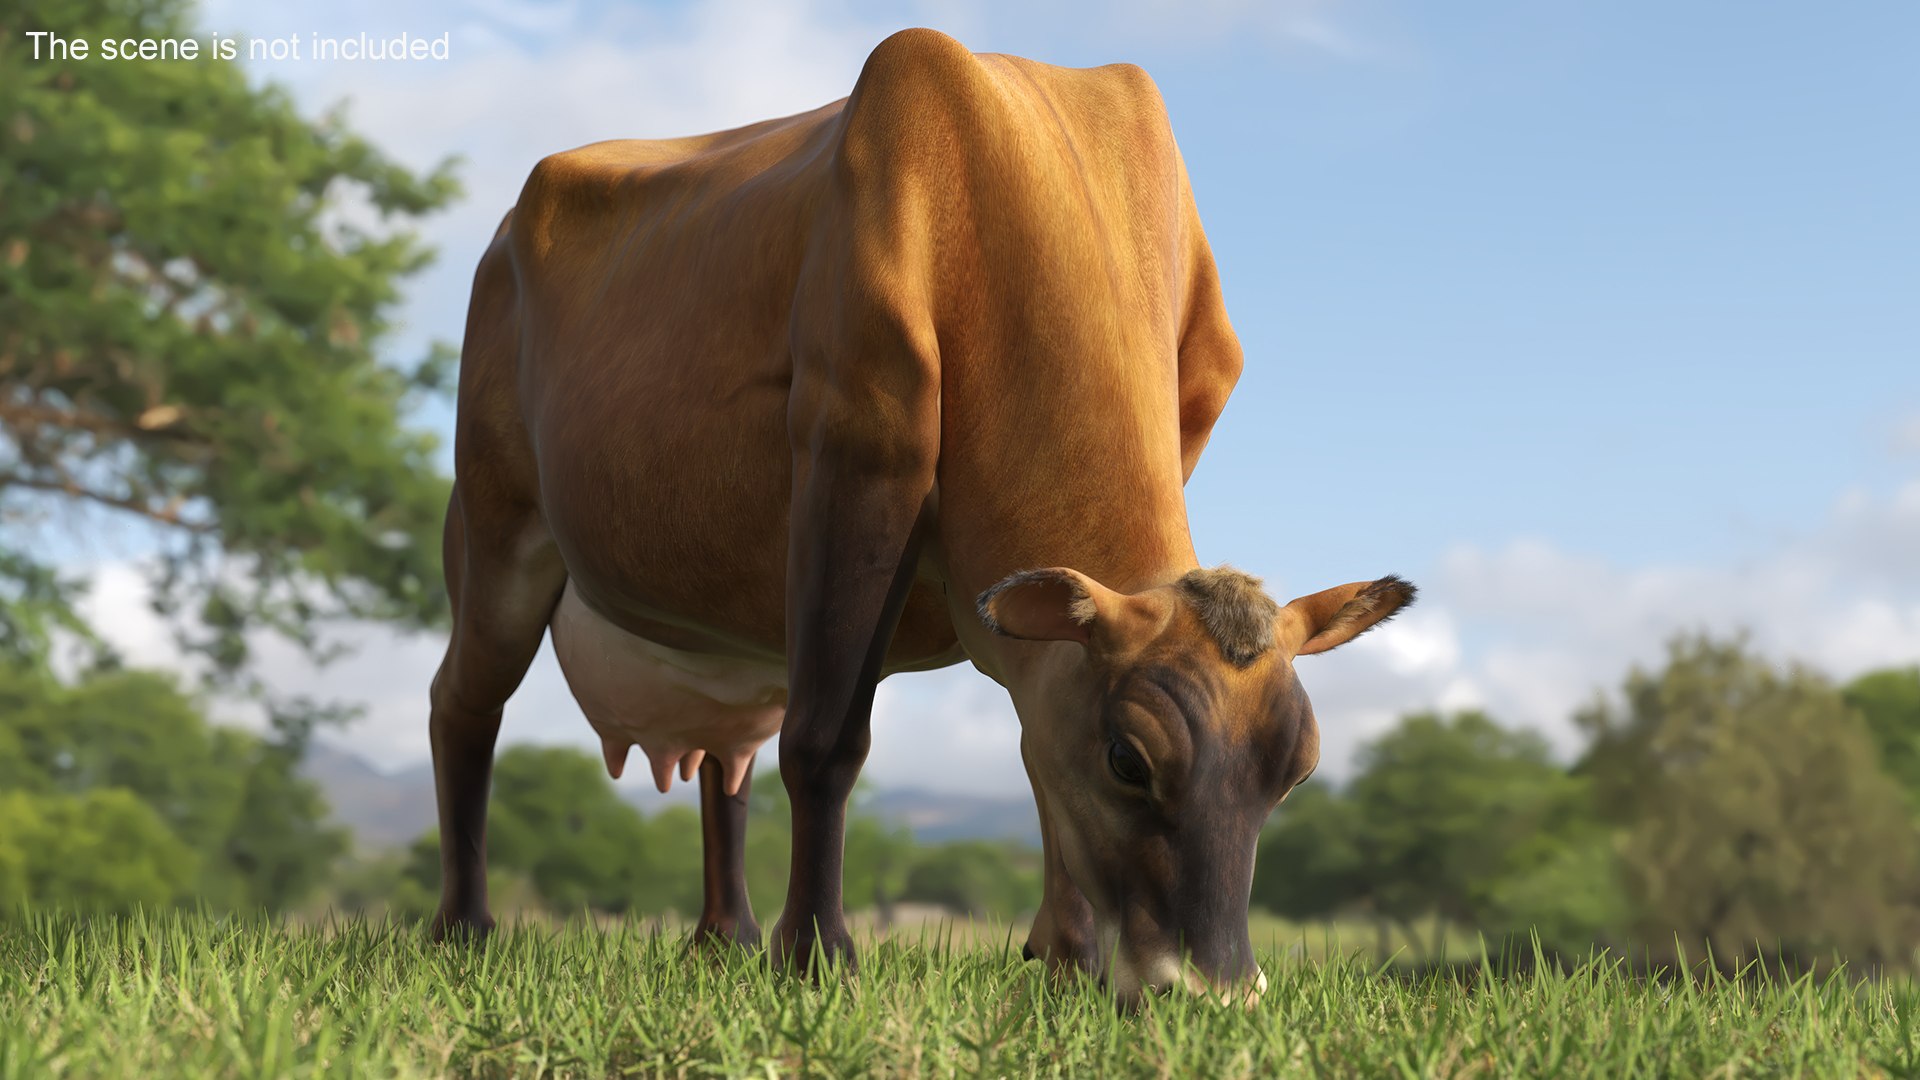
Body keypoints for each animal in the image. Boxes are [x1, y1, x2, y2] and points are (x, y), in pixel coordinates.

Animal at [427, 27, 1414, 1004]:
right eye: (1129, 759)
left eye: (1297, 769)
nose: (1213, 993)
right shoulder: (858, 440)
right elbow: (827, 738)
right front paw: (816, 957)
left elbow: (1035, 739)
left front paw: (1066, 958)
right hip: (493, 517)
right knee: (463, 701)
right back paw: (464, 931)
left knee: (723, 755)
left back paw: (723, 939)